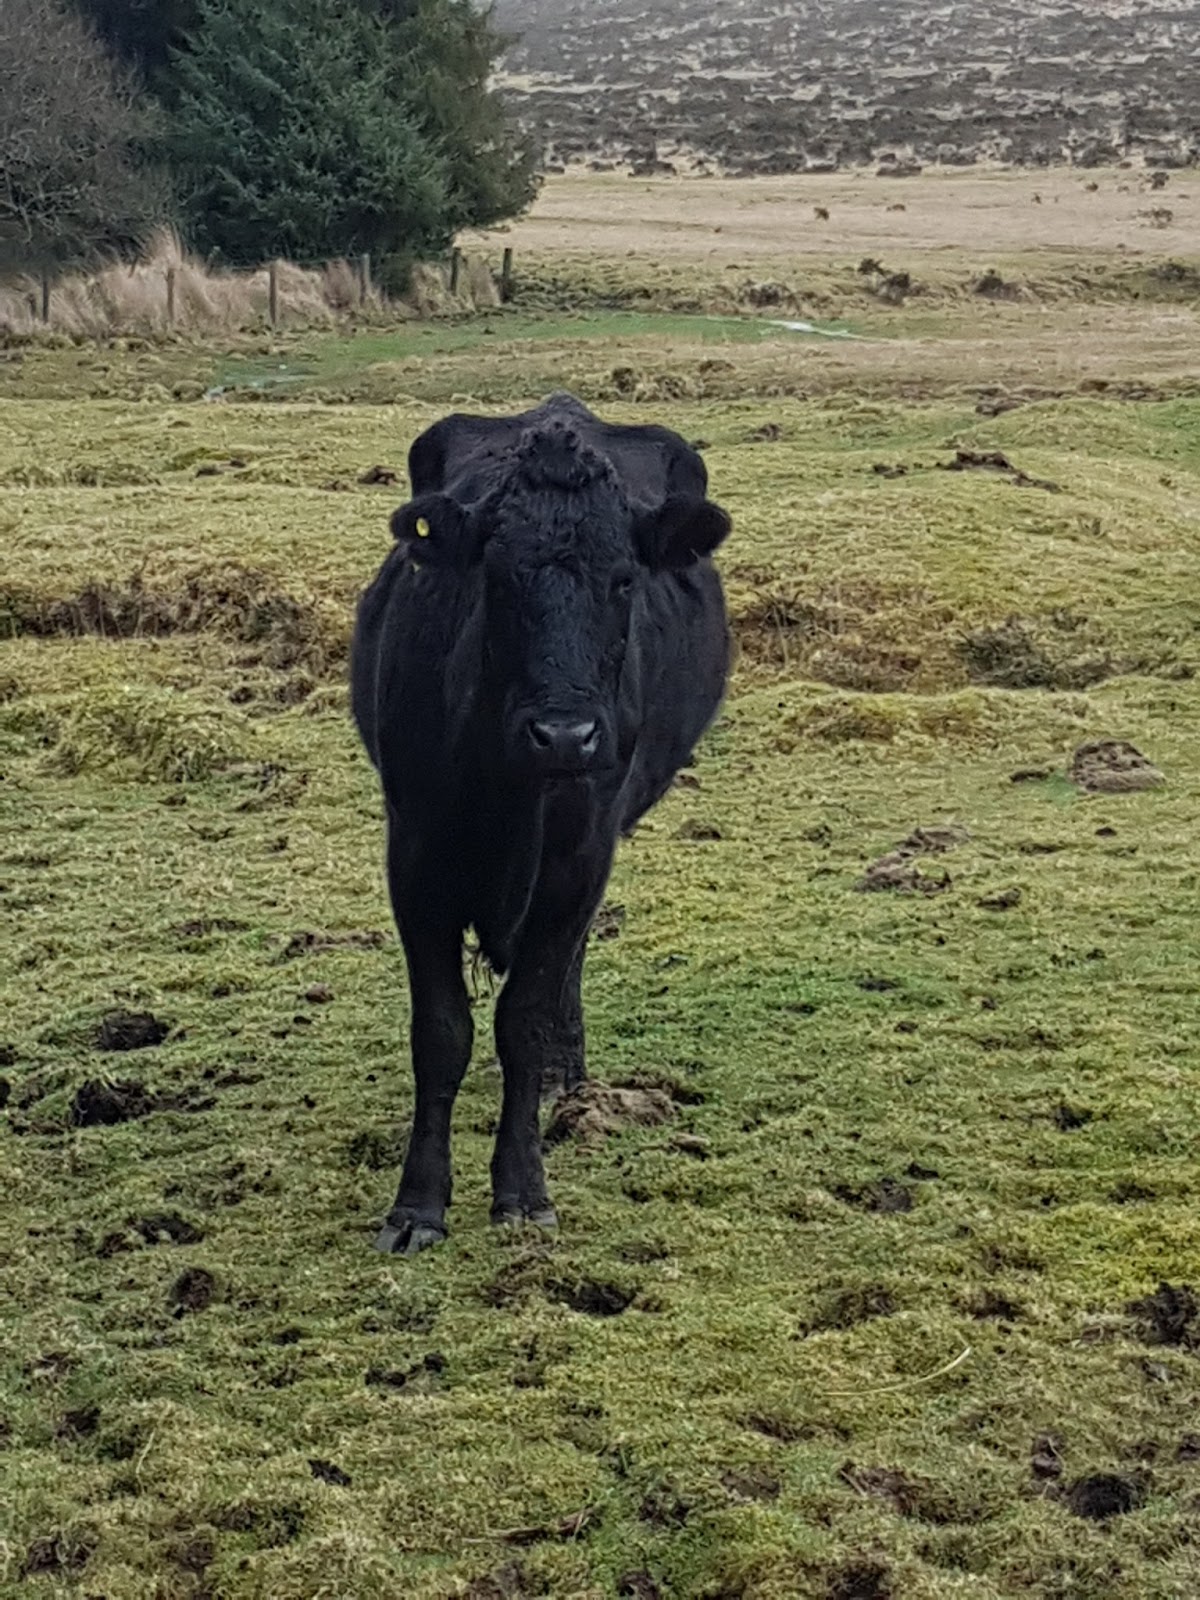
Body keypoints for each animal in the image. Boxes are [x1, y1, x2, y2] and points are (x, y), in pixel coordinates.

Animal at [350, 392, 732, 1255]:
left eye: (623, 580)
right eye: (496, 576)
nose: (564, 736)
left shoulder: (577, 863)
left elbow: (522, 1019)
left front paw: (522, 1190)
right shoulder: (415, 860)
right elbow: (442, 1031)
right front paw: (417, 1205)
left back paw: (565, 1071)